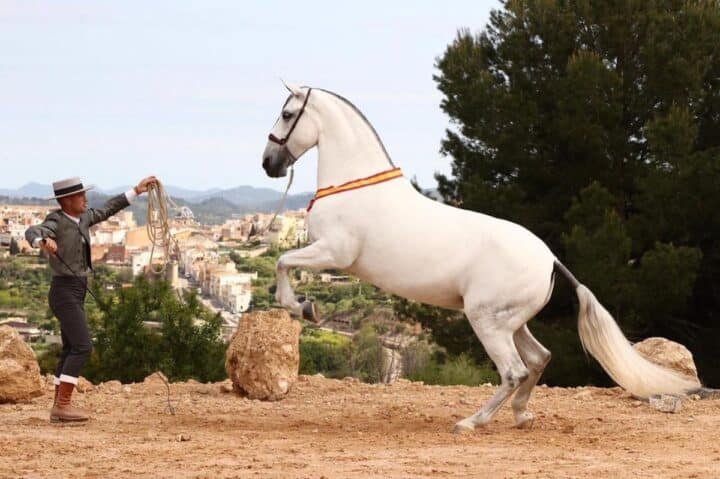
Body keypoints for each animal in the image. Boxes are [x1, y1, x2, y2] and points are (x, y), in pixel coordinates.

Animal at [261, 83, 701, 433]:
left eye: (287, 114)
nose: (269, 164)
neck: (355, 186)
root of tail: (550, 260)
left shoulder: (333, 252)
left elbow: (283, 262)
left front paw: (303, 307)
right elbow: (284, 263)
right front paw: (305, 305)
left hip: (487, 320)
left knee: (514, 371)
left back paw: (472, 422)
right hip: (512, 322)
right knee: (539, 358)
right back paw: (521, 416)